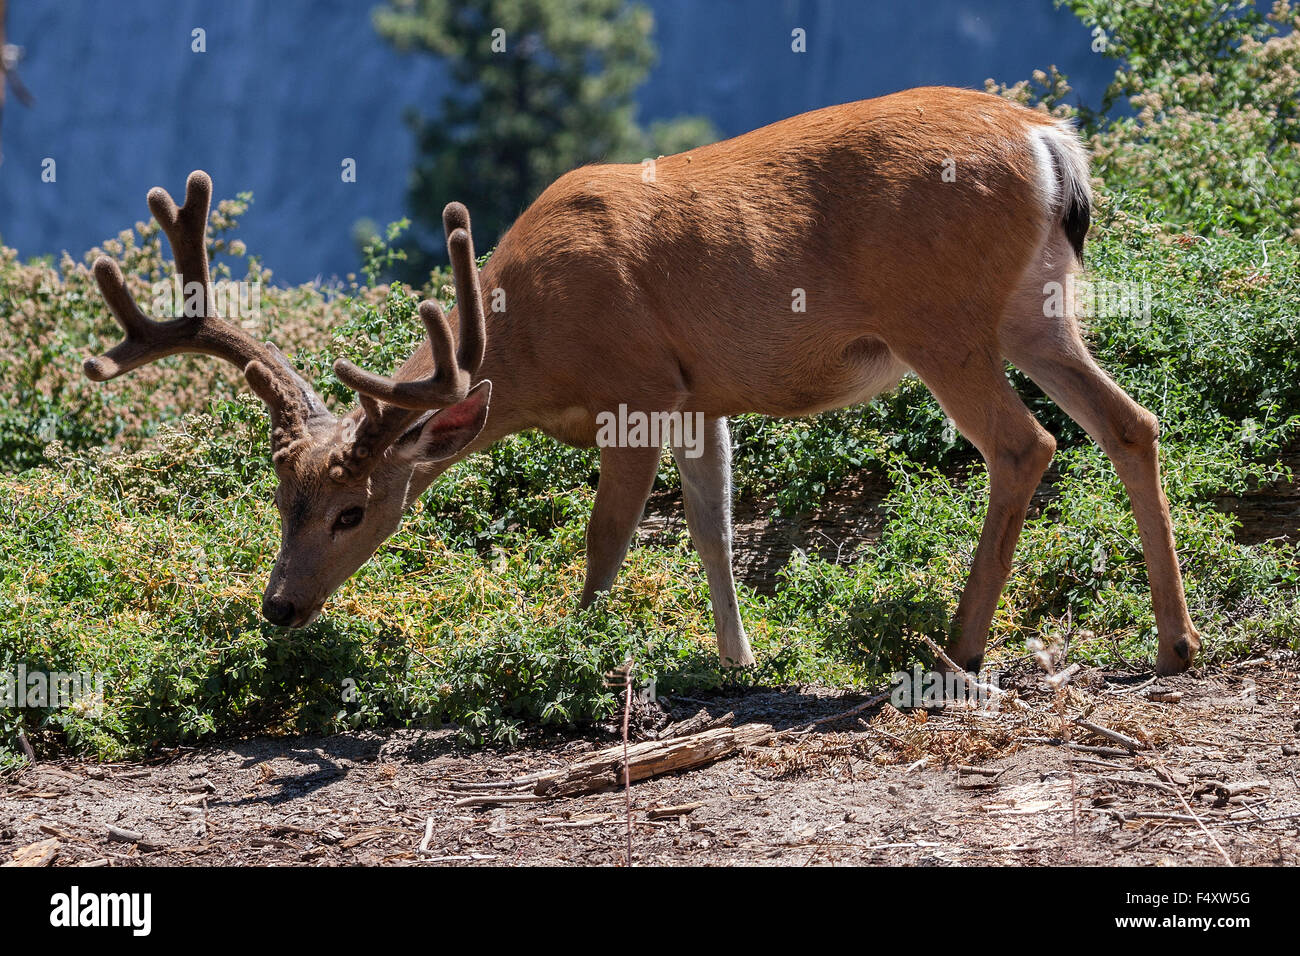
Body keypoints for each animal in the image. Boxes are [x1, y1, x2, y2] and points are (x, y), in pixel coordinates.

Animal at [84, 86, 1201, 677]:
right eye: (283, 499)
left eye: (355, 510)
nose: (279, 607)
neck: (530, 347)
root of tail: (1049, 144)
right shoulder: (700, 395)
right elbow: (712, 521)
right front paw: (738, 659)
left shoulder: (638, 385)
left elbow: (610, 532)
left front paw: (571, 648)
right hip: (1037, 309)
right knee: (1132, 420)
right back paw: (1176, 640)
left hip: (944, 320)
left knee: (1027, 442)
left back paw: (958, 644)